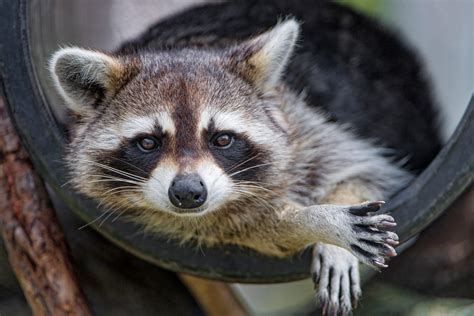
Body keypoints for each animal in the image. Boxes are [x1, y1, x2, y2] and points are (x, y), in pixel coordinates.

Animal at [48, 1, 440, 314]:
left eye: (222, 139)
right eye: (148, 143)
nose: (188, 193)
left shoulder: (303, 128)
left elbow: (364, 170)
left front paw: (332, 217)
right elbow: (244, 226)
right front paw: (316, 220)